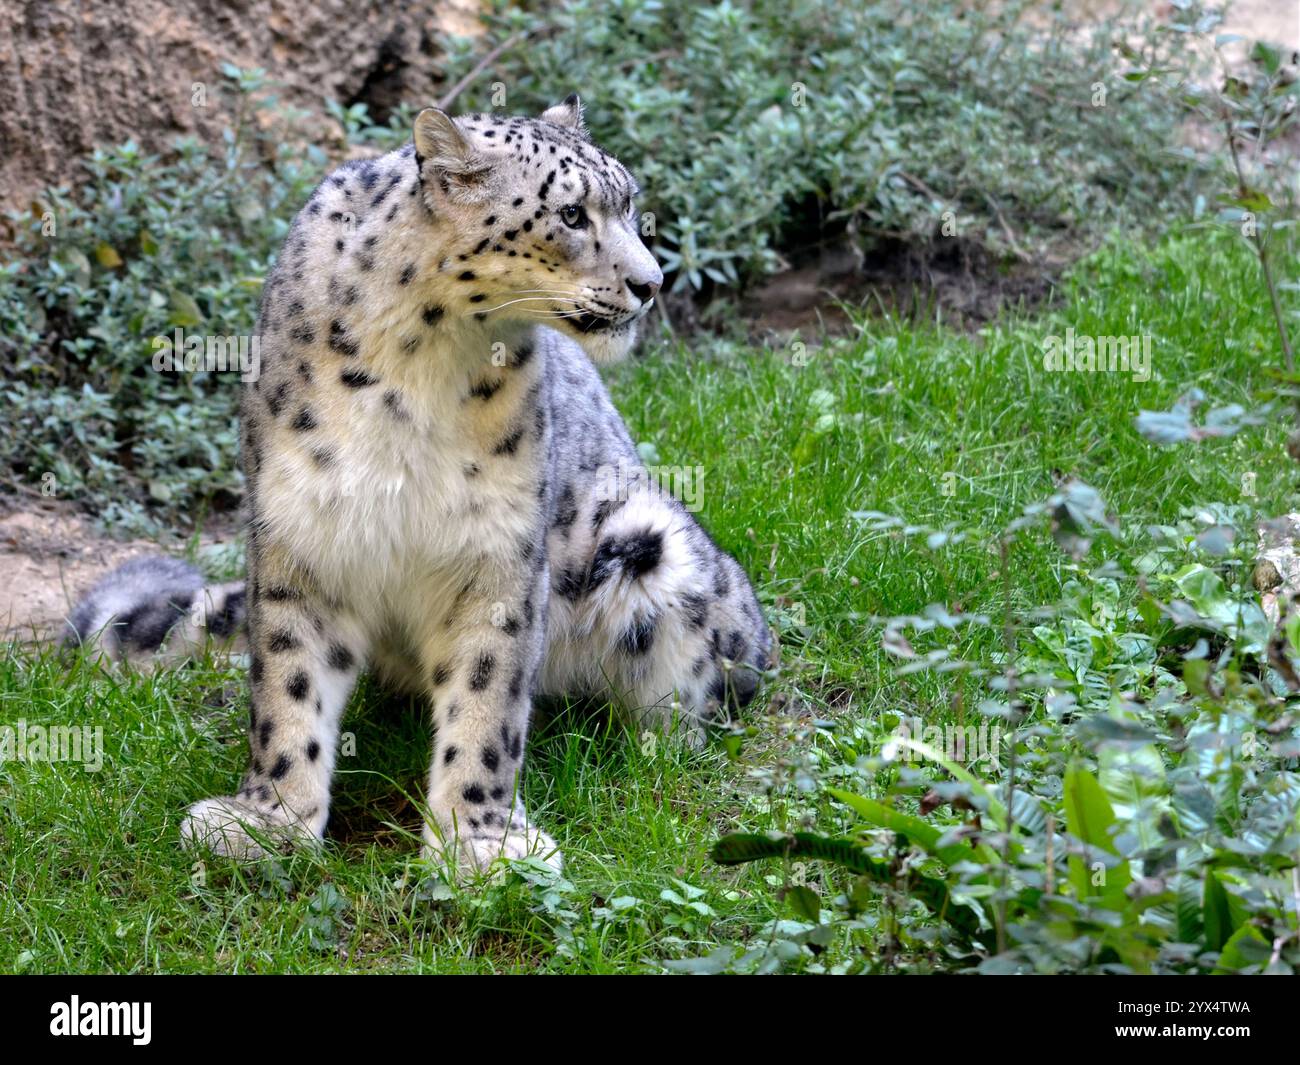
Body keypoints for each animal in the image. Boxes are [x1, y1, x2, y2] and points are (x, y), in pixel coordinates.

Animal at [66, 96, 773, 878]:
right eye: (571, 214)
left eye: (627, 205)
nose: (651, 285)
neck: (418, 359)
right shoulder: (299, 534)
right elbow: (288, 684)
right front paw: (270, 822)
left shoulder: (499, 549)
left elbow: (488, 699)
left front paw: (479, 842)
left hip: (650, 539)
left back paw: (655, 745)